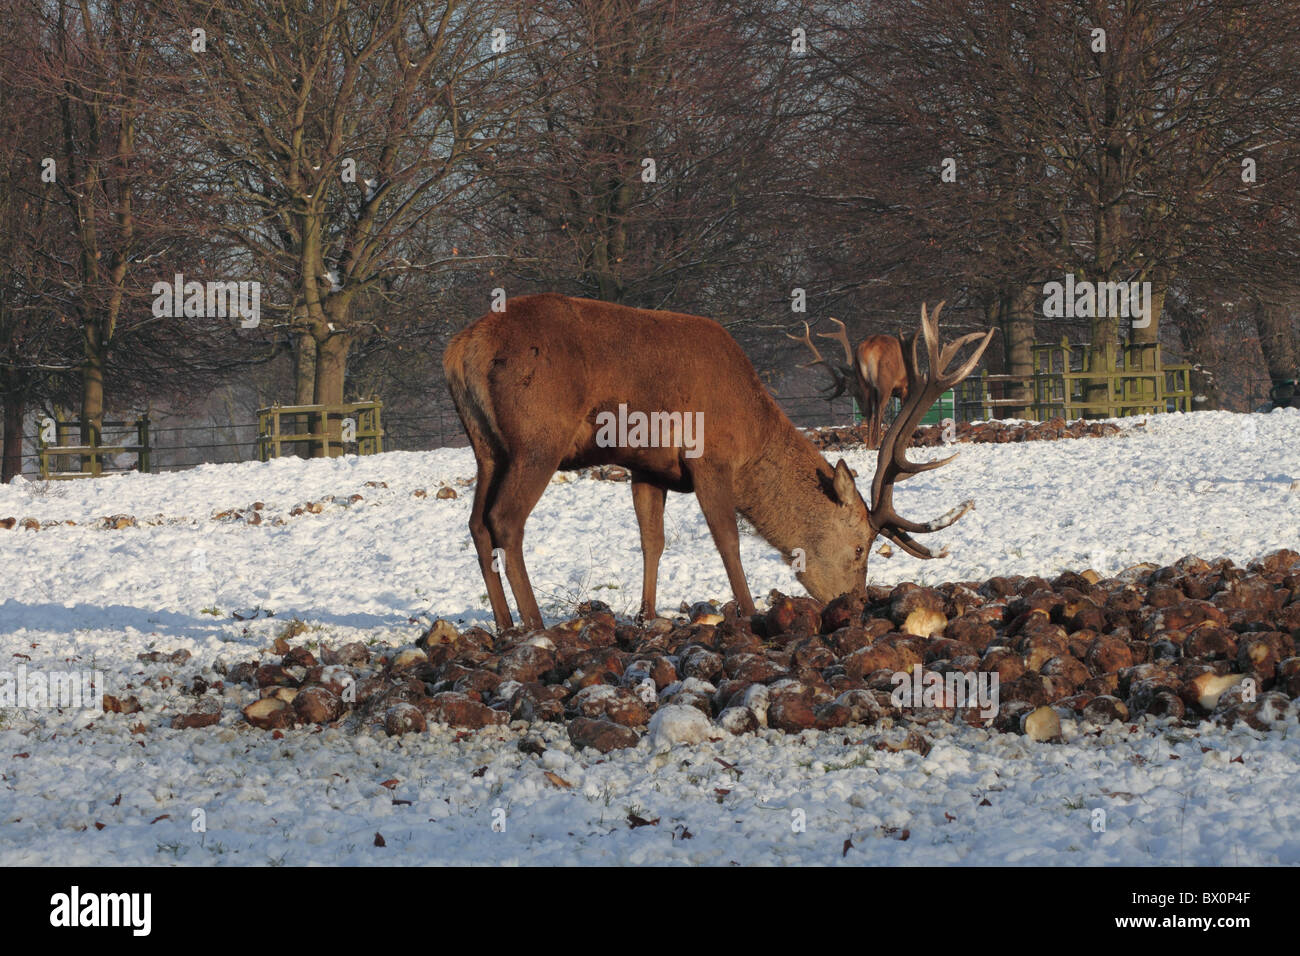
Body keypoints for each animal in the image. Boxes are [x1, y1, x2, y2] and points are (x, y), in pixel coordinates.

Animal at [788, 317, 909, 448]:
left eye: (853, 391)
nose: (861, 412)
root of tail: (870, 350)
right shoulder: (904, 388)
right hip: (884, 383)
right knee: (879, 410)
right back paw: (877, 443)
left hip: (866, 384)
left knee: (871, 411)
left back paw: (869, 444)